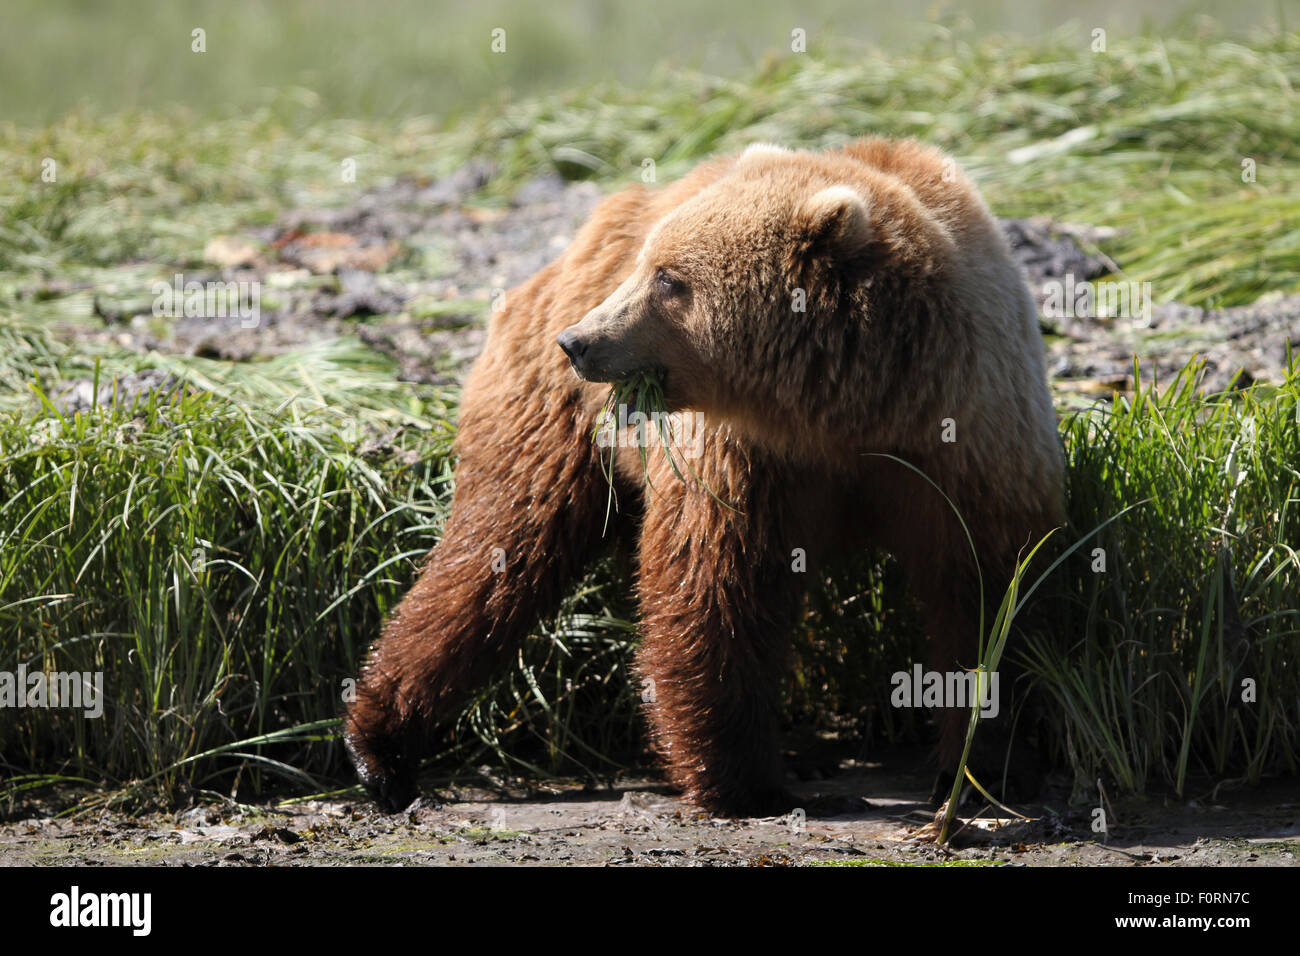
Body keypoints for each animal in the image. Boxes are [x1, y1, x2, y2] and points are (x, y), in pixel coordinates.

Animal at [342, 137, 1065, 816]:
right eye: (648, 265)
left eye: (668, 278)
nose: (579, 342)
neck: (844, 413)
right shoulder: (744, 458)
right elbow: (717, 587)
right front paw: (747, 783)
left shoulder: (965, 445)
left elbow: (986, 596)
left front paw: (982, 769)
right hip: (553, 416)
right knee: (497, 551)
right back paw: (381, 747)